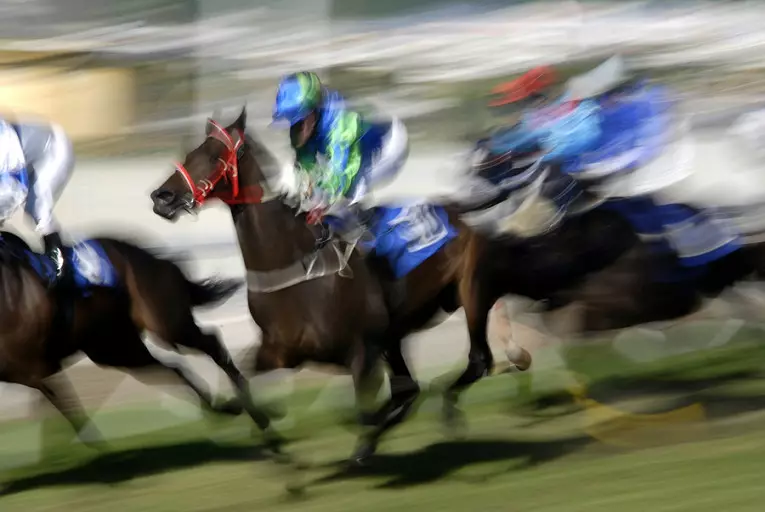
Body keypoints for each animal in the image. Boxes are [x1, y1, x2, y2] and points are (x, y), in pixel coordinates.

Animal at [0, 229, 272, 448]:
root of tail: (157, 259)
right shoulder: (34, 373)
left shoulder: (36, 370)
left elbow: (68, 411)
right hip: (116, 348)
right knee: (172, 366)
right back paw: (225, 408)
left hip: (167, 326)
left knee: (210, 343)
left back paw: (256, 414)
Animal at [146, 108, 536, 464]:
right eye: (190, 153)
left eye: (214, 155)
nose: (162, 197)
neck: (296, 265)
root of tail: (463, 207)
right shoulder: (279, 352)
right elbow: (247, 383)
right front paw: (271, 439)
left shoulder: (361, 351)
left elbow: (367, 410)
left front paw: (362, 442)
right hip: (397, 334)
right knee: (413, 386)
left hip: (472, 292)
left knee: (477, 360)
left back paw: (449, 408)